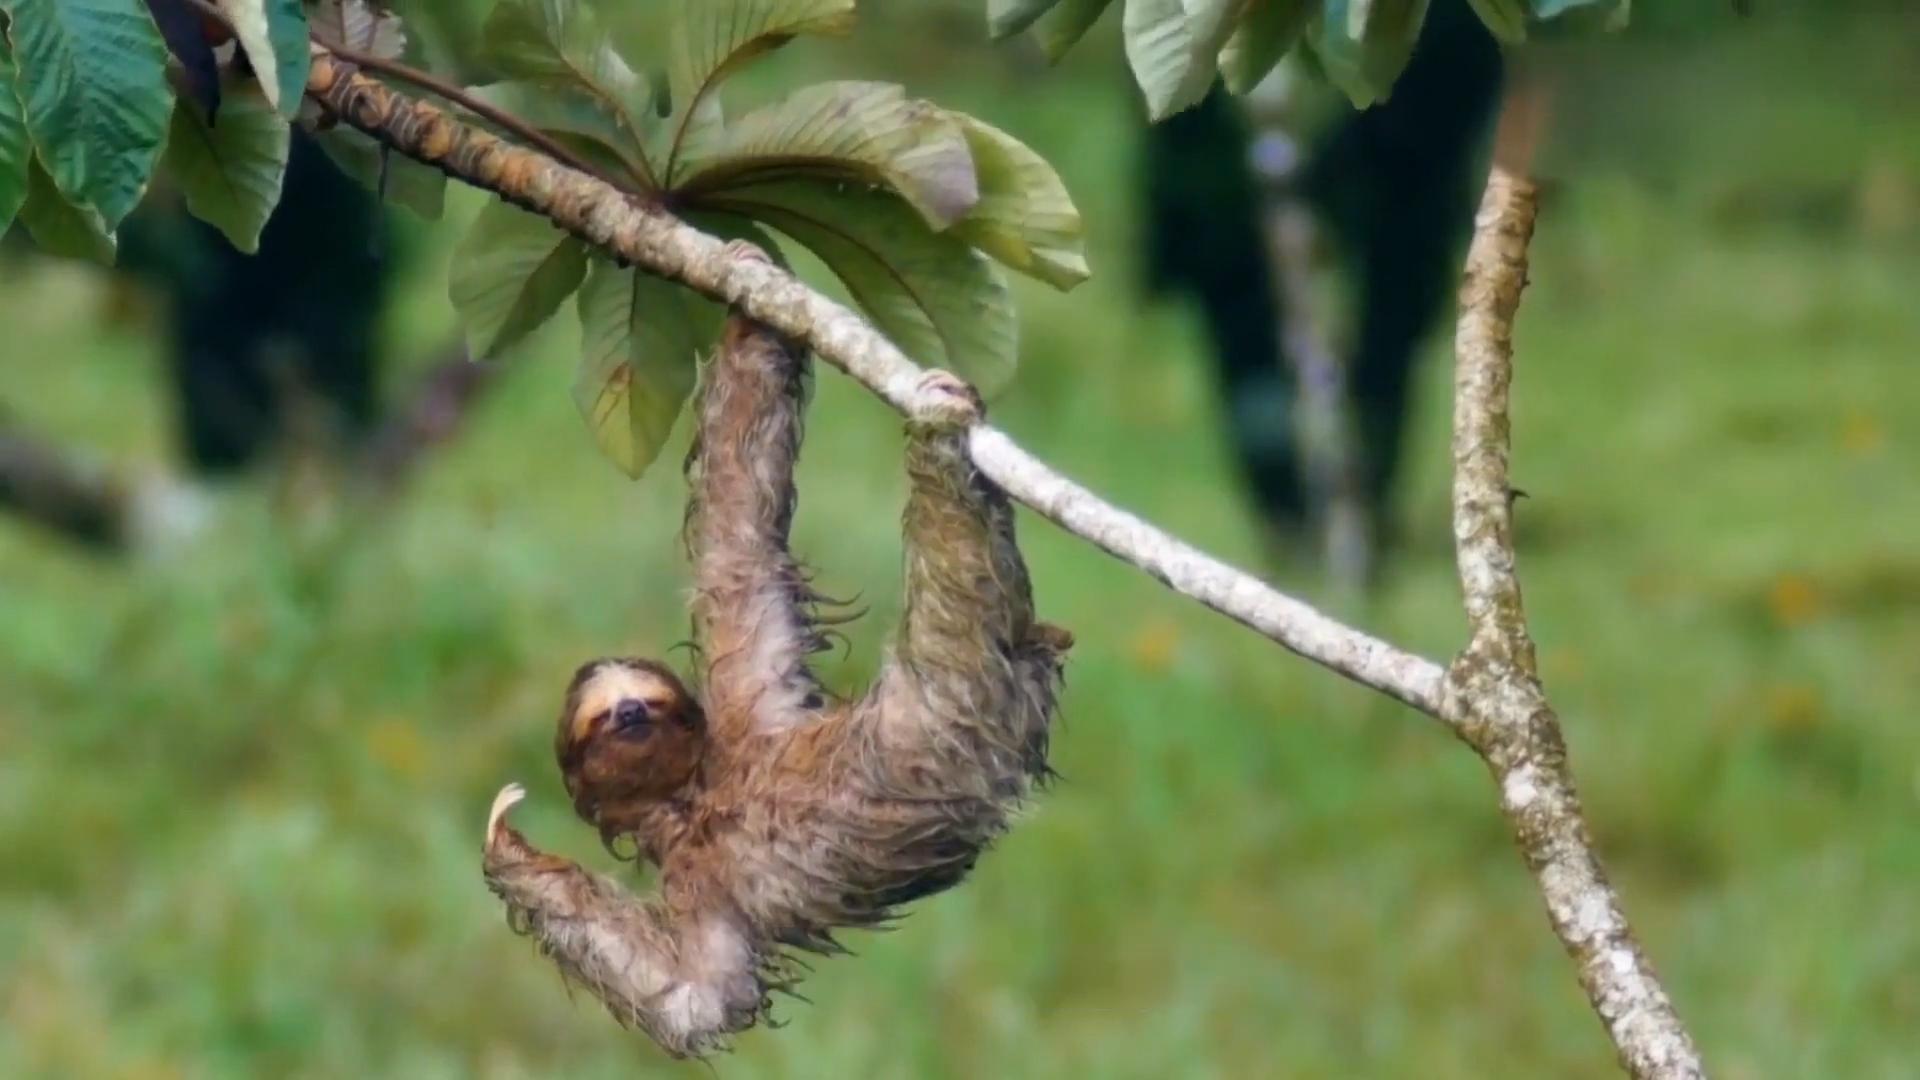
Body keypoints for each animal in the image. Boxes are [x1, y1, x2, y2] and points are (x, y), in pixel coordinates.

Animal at [481, 310, 1072, 1058]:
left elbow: (738, 537)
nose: (630, 715)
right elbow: (692, 996)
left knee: (944, 550)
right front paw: (506, 841)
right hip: (962, 679)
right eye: (599, 720)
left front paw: (750, 310)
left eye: (647, 701)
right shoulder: (699, 882)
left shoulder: (747, 699)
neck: (697, 795)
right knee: (965, 570)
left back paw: (935, 430)